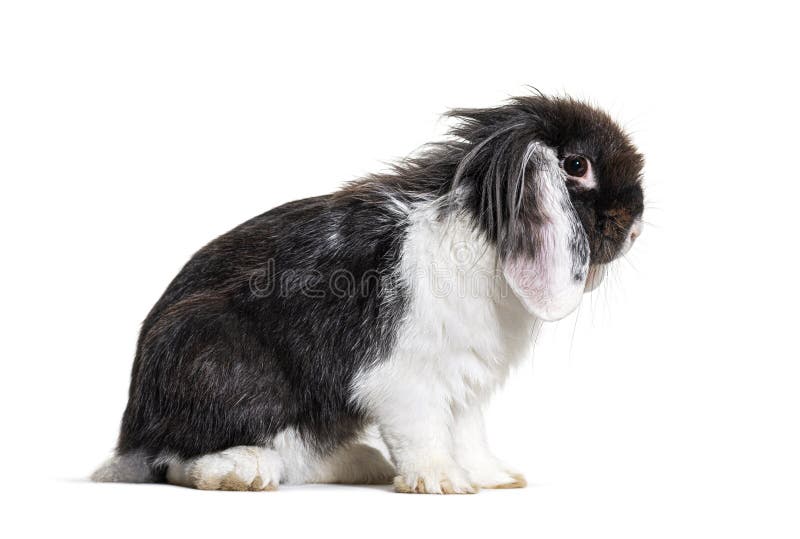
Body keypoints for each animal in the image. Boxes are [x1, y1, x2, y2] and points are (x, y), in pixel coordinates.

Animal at [92, 93, 645, 493]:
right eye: (576, 165)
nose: (636, 223)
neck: (482, 232)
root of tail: (132, 429)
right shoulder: (404, 379)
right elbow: (423, 433)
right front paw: (441, 483)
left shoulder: (465, 383)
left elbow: (469, 434)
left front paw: (495, 478)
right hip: (220, 362)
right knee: (179, 457)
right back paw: (243, 471)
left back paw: (361, 464)